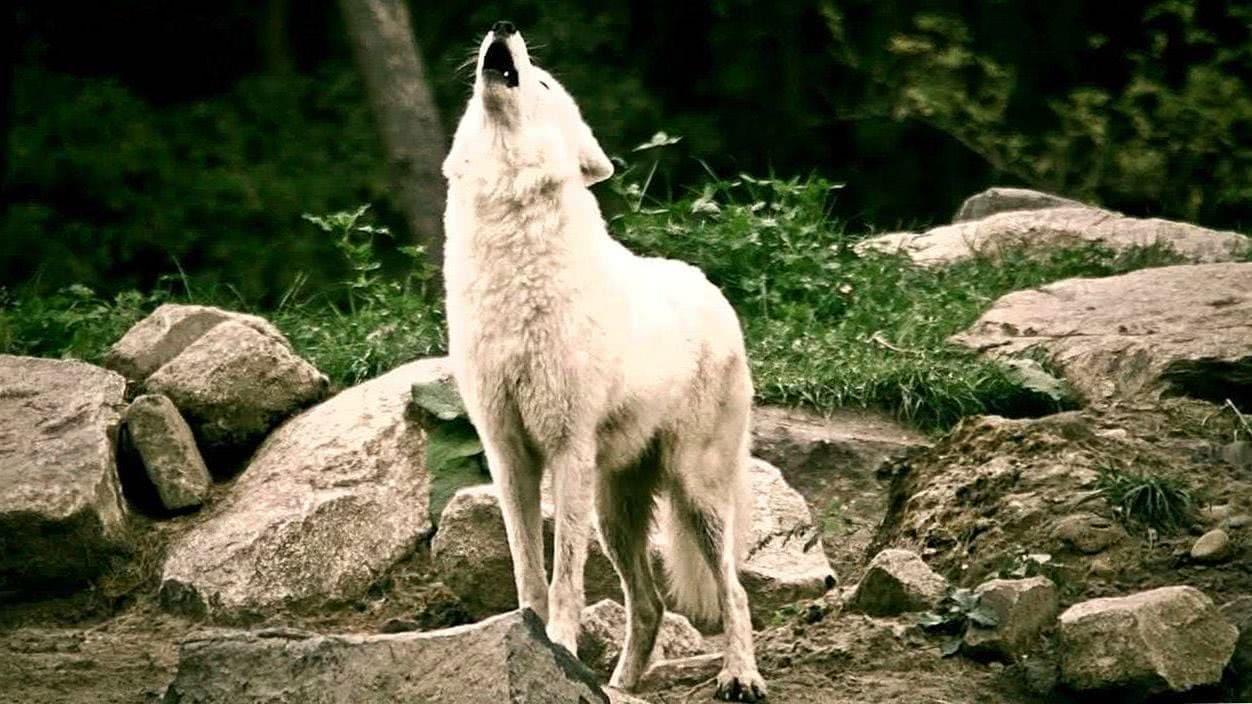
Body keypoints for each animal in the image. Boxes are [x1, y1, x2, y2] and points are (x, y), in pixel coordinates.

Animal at [441, 21, 766, 701]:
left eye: (541, 84)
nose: (504, 27)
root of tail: (715, 291)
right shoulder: (507, 452)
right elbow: (527, 569)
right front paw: (529, 641)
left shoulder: (567, 447)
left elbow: (564, 573)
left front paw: (560, 645)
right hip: (616, 511)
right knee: (649, 605)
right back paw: (618, 684)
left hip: (695, 493)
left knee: (734, 592)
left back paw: (740, 675)